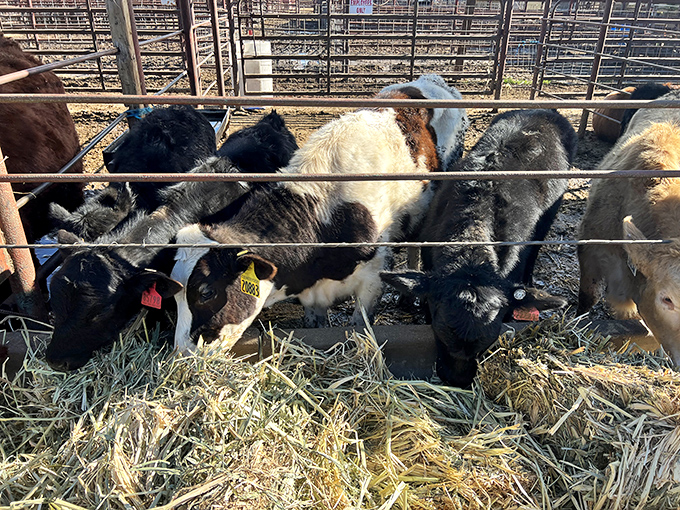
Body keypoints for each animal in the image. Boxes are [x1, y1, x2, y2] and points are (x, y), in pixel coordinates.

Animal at [170, 76, 469, 353]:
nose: (182, 352)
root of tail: (429, 80)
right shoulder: (311, 292)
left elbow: (360, 325)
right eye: (174, 296)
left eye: (206, 292)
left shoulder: (372, 278)